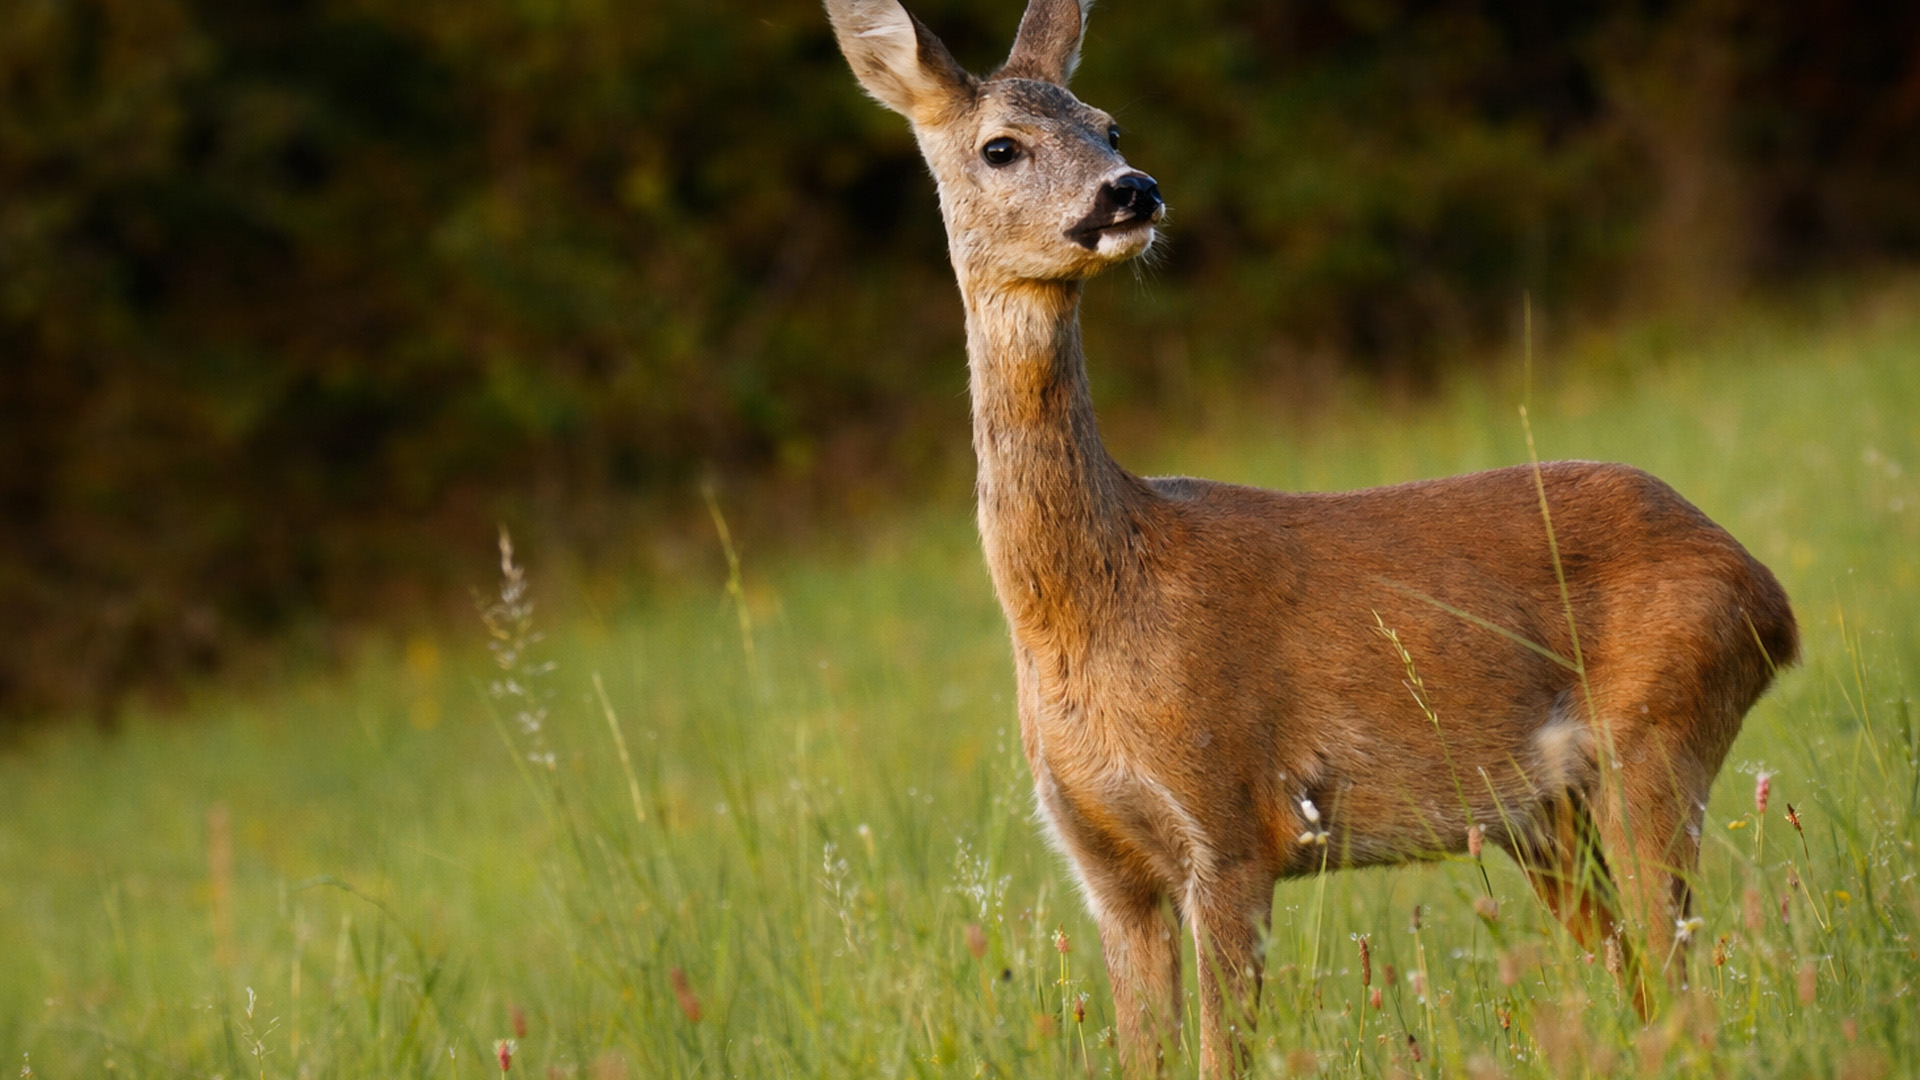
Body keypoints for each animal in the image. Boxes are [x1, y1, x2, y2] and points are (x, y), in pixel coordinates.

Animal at [823, 0, 1799, 1074]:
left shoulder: (1232, 817)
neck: (1089, 610)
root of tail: (1768, 590)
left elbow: (1221, 1052)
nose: (1132, 190)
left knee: (1682, 975)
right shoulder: (1105, 864)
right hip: (1545, 814)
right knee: (1642, 982)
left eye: (1109, 125)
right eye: (1001, 146)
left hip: (1656, 736)